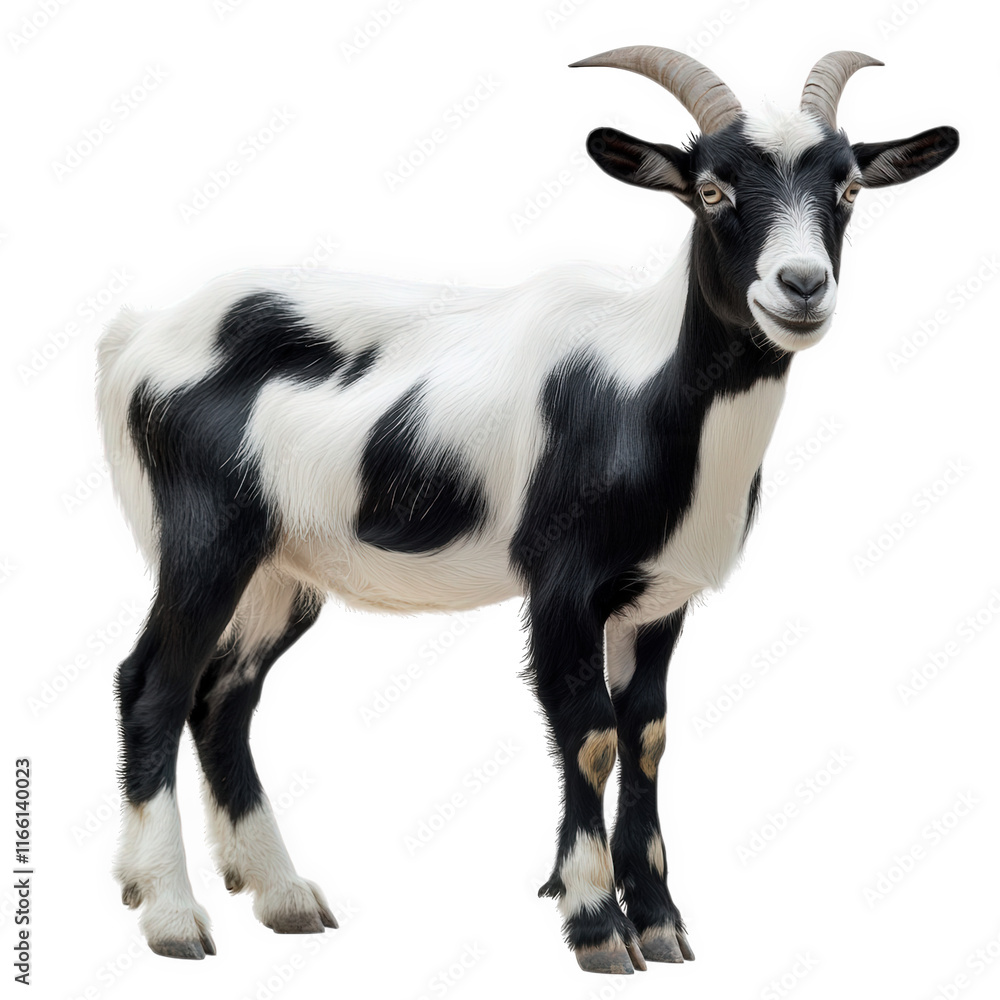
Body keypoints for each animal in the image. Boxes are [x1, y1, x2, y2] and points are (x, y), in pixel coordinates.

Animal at [97, 47, 958, 974]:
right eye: (711, 189)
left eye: (849, 188)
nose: (801, 287)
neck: (643, 393)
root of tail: (135, 339)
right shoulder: (562, 584)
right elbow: (589, 735)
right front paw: (597, 925)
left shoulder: (658, 600)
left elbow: (646, 736)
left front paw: (659, 921)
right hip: (205, 538)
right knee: (153, 683)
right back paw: (172, 915)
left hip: (281, 568)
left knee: (225, 695)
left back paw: (283, 896)